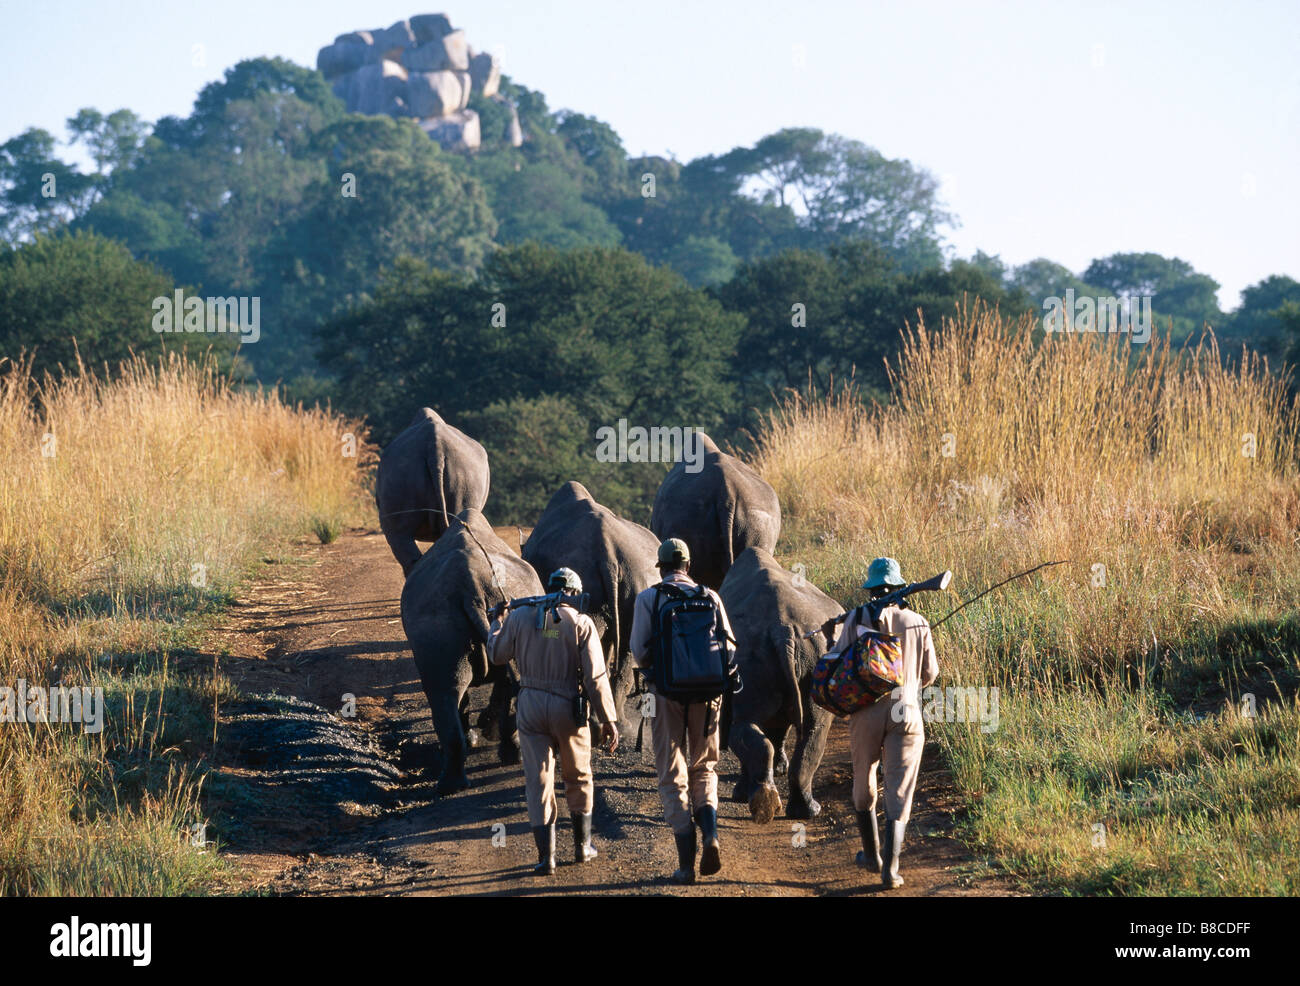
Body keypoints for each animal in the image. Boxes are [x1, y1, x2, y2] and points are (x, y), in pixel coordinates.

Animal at [400, 507, 541, 796]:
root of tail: (472, 588)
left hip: (441, 619)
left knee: (446, 690)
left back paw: (453, 783)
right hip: (469, 613)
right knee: (458, 688)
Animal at [720, 547, 841, 823]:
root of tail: (781, 629)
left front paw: (741, 793)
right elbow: (777, 730)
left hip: (750, 651)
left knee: (743, 724)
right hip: (815, 648)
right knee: (815, 728)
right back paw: (803, 811)